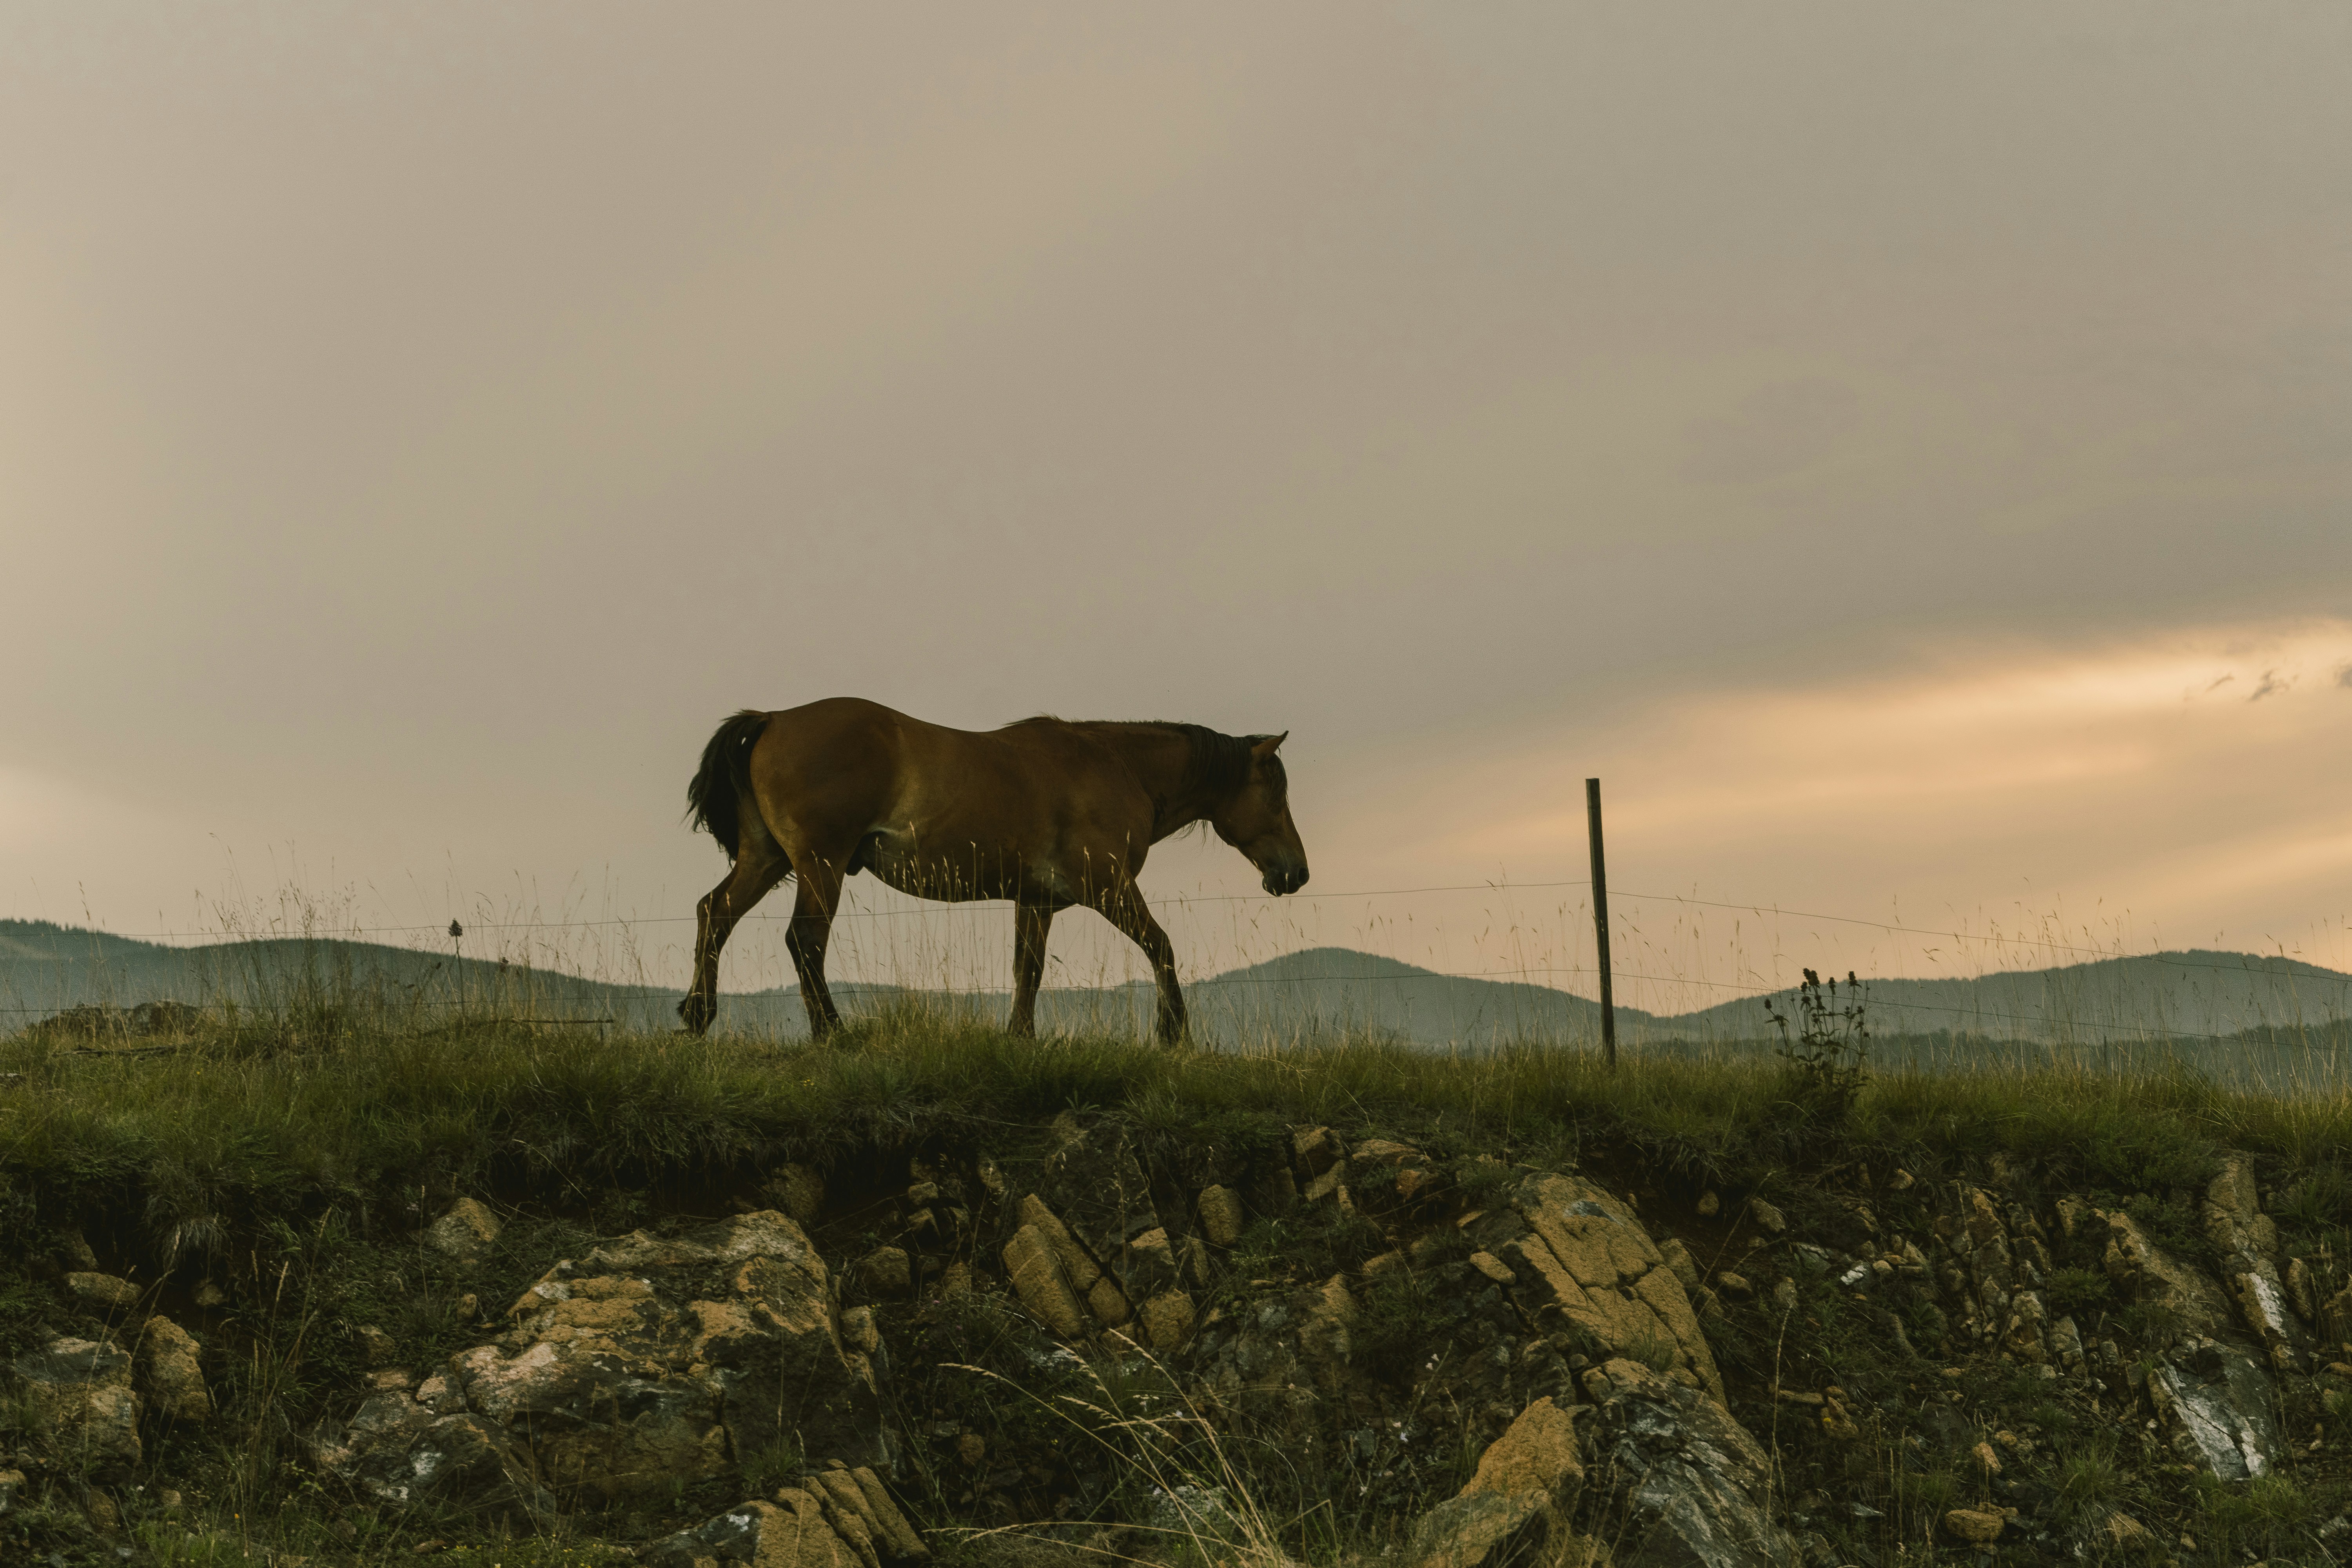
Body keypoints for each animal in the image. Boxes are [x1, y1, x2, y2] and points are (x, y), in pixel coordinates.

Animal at [677, 697, 1309, 1043]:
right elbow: (1162, 946)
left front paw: (1021, 1037)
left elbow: (1027, 970)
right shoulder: (1109, 888)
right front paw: (1174, 1032)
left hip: (767, 860)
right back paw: (831, 1031)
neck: (1114, 765)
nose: (1296, 874)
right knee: (805, 940)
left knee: (716, 914)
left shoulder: (1037, 901)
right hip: (820, 865)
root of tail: (773, 719)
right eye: (1275, 792)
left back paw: (699, 1014)